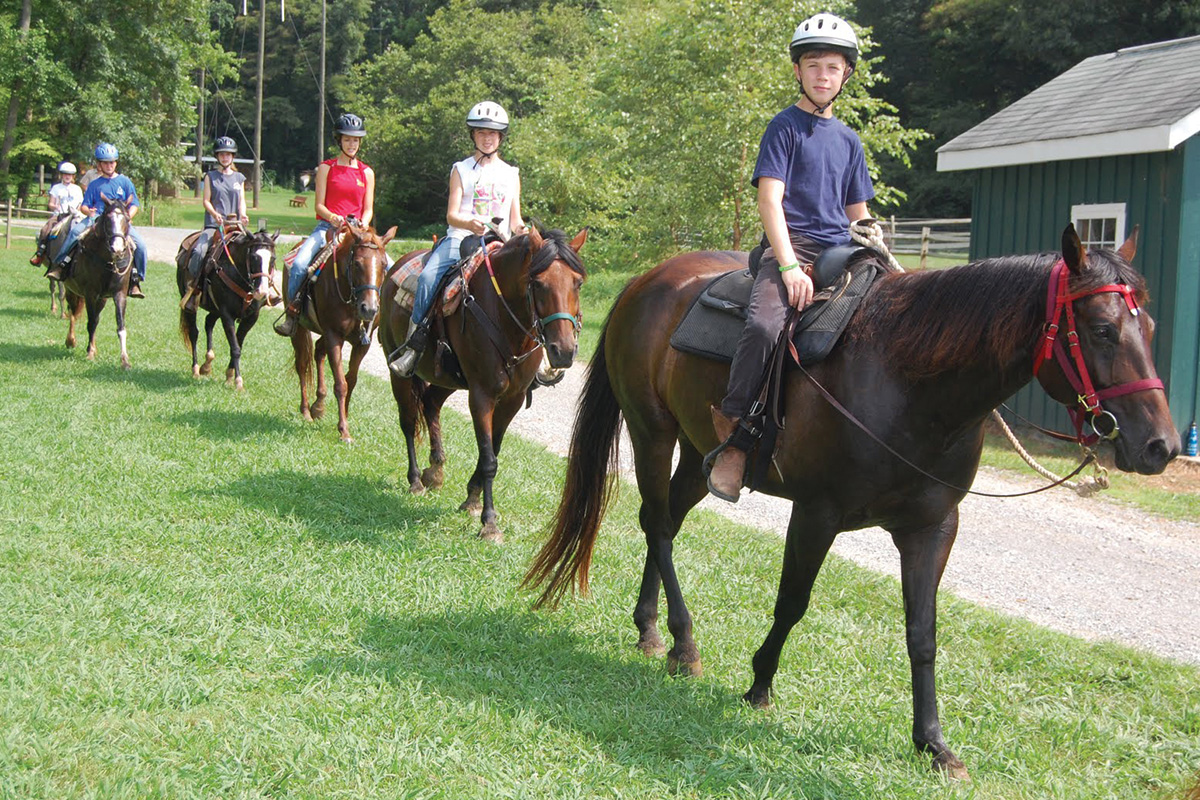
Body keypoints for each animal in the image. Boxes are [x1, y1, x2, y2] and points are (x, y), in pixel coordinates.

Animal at [62, 197, 135, 369]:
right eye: (108, 220)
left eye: (127, 219)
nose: (117, 249)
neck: (108, 262)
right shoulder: (90, 293)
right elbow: (91, 323)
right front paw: (89, 353)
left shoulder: (119, 294)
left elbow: (120, 326)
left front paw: (125, 360)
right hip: (71, 290)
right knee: (73, 313)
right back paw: (71, 340)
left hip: (102, 299)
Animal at [175, 225, 278, 388]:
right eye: (253, 257)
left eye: (273, 259)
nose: (262, 292)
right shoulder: (226, 314)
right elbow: (235, 347)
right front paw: (238, 381)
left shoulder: (251, 317)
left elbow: (238, 343)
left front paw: (229, 375)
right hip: (190, 304)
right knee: (194, 333)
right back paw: (196, 369)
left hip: (215, 309)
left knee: (208, 322)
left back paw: (207, 364)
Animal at [286, 220, 396, 442]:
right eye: (357, 264)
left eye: (383, 264)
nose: (369, 309)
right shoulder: (334, 335)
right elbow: (340, 383)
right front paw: (343, 430)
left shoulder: (363, 341)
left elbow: (350, 380)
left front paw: (344, 416)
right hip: (299, 329)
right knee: (302, 364)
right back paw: (306, 410)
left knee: (318, 351)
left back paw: (318, 405)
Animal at [378, 226, 587, 542]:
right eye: (538, 283)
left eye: (578, 283)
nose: (563, 351)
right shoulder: (481, 395)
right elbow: (489, 458)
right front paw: (489, 522)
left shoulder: (512, 398)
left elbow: (493, 451)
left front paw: (472, 499)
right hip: (400, 373)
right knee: (408, 421)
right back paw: (415, 480)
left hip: (447, 379)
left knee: (430, 404)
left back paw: (435, 471)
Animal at [523, 225, 1178, 780]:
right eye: (1101, 329)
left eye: (1149, 330)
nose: (1161, 447)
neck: (907, 379)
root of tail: (647, 281)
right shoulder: (817, 513)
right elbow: (792, 604)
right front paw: (759, 686)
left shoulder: (933, 528)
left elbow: (923, 634)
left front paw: (933, 744)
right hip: (652, 431)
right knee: (657, 523)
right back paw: (683, 645)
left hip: (698, 451)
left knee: (668, 521)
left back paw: (650, 628)